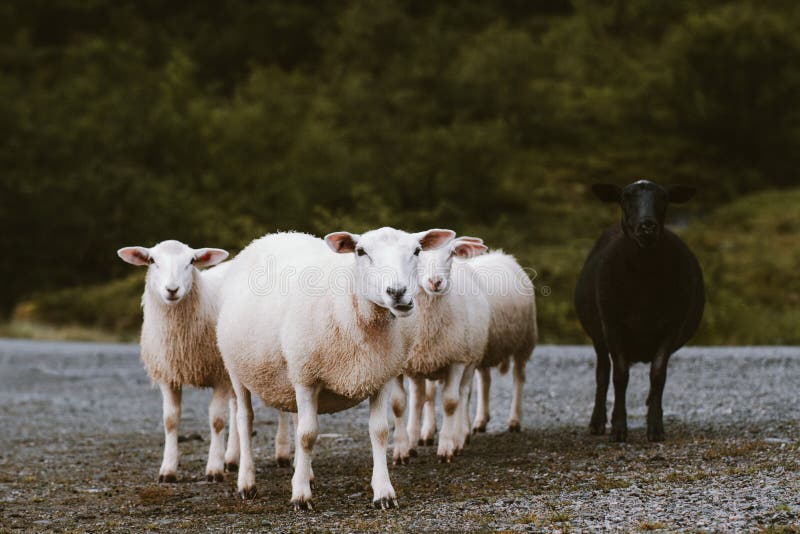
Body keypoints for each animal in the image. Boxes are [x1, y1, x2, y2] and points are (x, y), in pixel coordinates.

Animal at [117, 240, 237, 483]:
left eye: (191, 261)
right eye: (152, 260)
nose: (172, 290)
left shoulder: (220, 375)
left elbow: (217, 421)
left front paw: (214, 469)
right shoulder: (168, 375)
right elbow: (170, 420)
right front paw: (168, 470)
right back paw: (232, 459)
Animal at [216, 227, 455, 510]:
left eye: (417, 251)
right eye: (360, 251)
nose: (397, 292)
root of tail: (272, 235)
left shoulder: (380, 375)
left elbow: (380, 431)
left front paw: (384, 492)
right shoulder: (306, 377)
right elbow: (307, 435)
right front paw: (300, 496)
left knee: (294, 417)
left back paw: (305, 473)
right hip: (236, 368)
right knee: (245, 419)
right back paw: (246, 483)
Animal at [392, 236, 490, 465]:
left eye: (450, 253)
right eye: (417, 253)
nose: (435, 282)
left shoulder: (456, 359)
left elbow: (450, 402)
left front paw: (446, 448)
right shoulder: (403, 364)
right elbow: (399, 404)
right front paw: (401, 450)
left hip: (470, 359)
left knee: (463, 393)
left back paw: (459, 438)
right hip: (421, 365)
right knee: (419, 398)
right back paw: (414, 441)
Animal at [468, 250, 538, 434]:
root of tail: (504, 256)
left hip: (525, 342)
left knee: (518, 377)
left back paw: (514, 420)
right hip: (486, 348)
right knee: (485, 380)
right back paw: (481, 420)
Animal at [574, 180, 705, 442]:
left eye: (664, 198)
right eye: (625, 197)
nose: (647, 226)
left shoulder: (670, 327)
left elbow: (658, 375)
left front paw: (655, 427)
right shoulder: (612, 326)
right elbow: (620, 375)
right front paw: (618, 428)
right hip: (598, 336)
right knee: (602, 374)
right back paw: (597, 422)